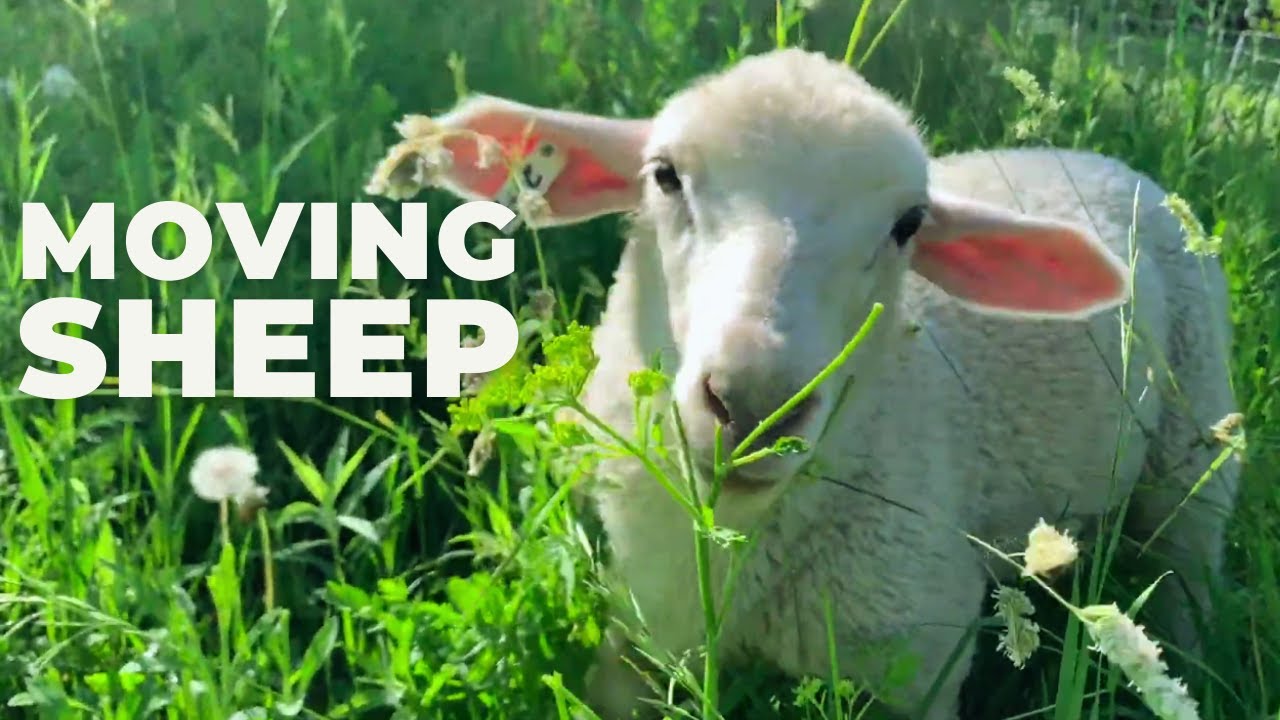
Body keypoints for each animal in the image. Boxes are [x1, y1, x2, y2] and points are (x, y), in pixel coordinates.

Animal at [365, 48, 1242, 719]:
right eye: (665, 176)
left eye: (907, 225)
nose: (754, 404)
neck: (736, 556)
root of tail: (1101, 161)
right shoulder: (644, 634)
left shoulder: (916, 658)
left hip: (1195, 444)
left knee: (1185, 577)